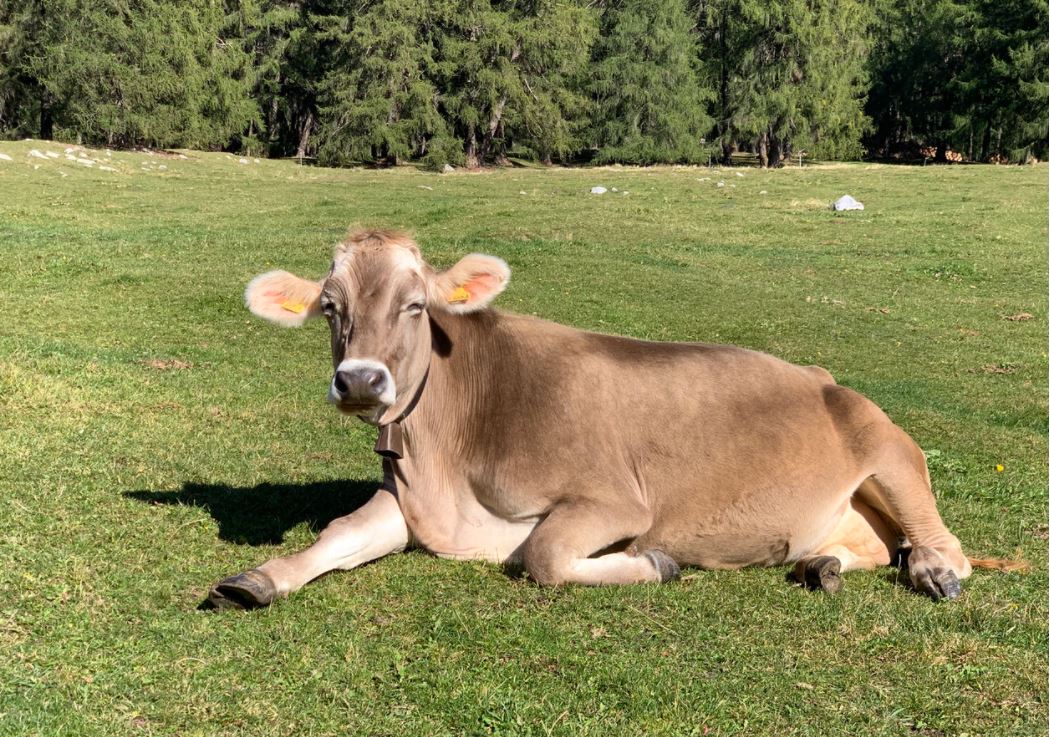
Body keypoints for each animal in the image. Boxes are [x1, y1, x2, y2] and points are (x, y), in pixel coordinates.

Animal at [208, 228, 1003, 610]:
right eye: (330, 307)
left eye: (414, 304)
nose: (360, 380)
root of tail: (825, 379)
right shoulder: (410, 502)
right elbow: (339, 532)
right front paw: (258, 578)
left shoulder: (614, 500)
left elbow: (544, 556)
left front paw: (656, 562)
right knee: (874, 546)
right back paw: (822, 565)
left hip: (889, 450)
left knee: (939, 543)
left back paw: (932, 571)